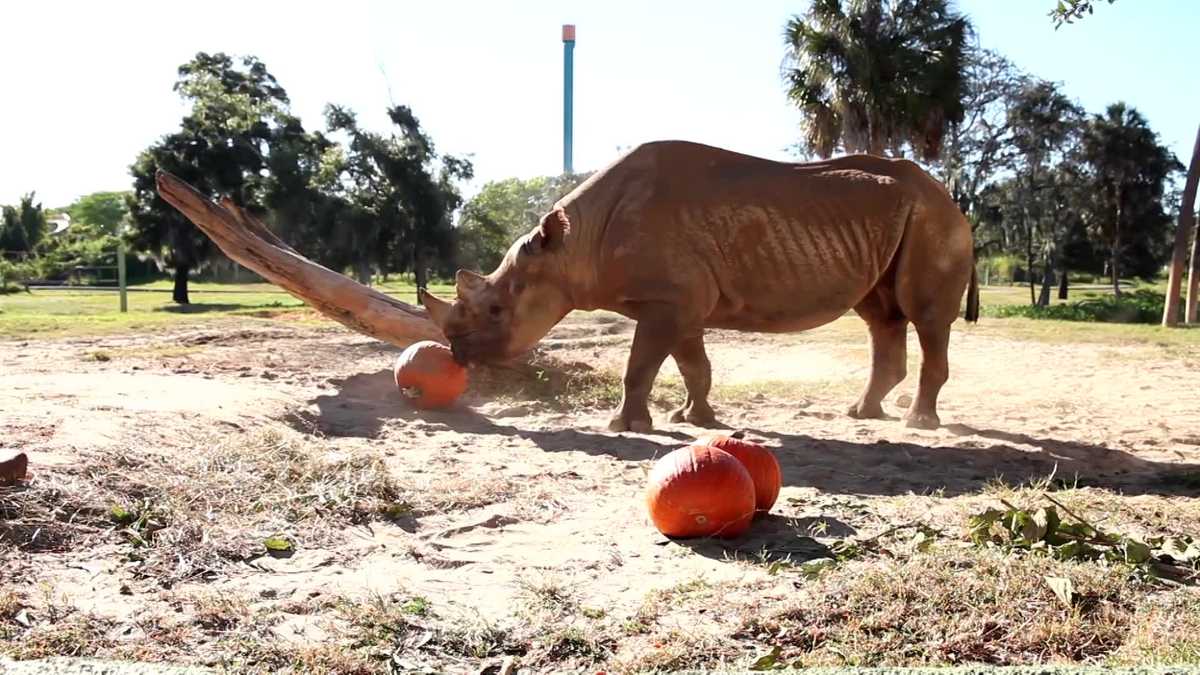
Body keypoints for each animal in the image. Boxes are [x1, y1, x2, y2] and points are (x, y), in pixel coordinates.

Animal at [156, 140, 977, 433]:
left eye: (493, 307)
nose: (461, 356)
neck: (574, 240)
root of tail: (952, 193)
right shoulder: (682, 302)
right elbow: (693, 362)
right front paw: (695, 419)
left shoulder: (668, 299)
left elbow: (642, 361)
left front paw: (625, 426)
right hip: (904, 221)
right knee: (880, 315)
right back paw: (863, 413)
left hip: (937, 218)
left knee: (922, 315)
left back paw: (919, 424)